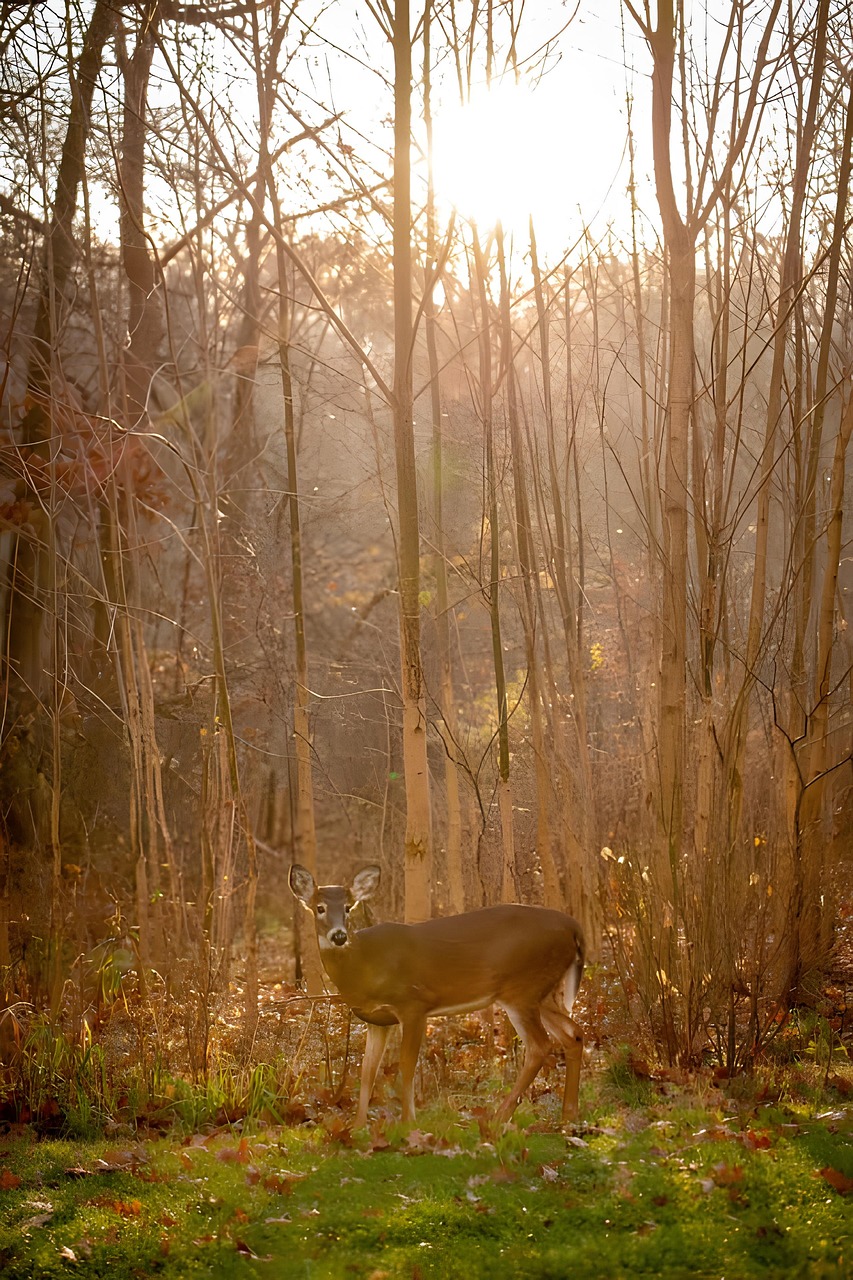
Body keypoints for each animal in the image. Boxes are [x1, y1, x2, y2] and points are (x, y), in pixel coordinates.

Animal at [289, 863, 585, 1129]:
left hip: (523, 988)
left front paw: (408, 1123)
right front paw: (358, 1126)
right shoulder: (377, 1021)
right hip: (544, 992)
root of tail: (573, 926)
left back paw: (500, 1117)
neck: (365, 965)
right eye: (319, 907)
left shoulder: (414, 1004)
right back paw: (568, 1115)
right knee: (573, 1034)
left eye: (349, 907)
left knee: (540, 1045)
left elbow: (406, 1065)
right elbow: (367, 1071)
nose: (339, 936)